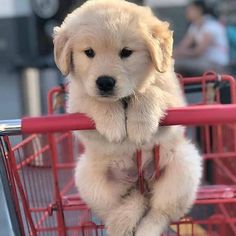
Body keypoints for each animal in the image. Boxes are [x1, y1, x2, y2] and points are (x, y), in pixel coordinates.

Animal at [53, 0, 201, 235]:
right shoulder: (76, 106)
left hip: (184, 165)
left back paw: (145, 228)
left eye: (126, 52)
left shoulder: (175, 103)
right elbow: (95, 100)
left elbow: (150, 92)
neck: (123, 100)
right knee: (115, 211)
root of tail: (141, 182)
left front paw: (140, 125)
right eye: (89, 52)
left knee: (160, 212)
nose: (105, 82)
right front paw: (113, 124)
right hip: (88, 178)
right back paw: (126, 215)